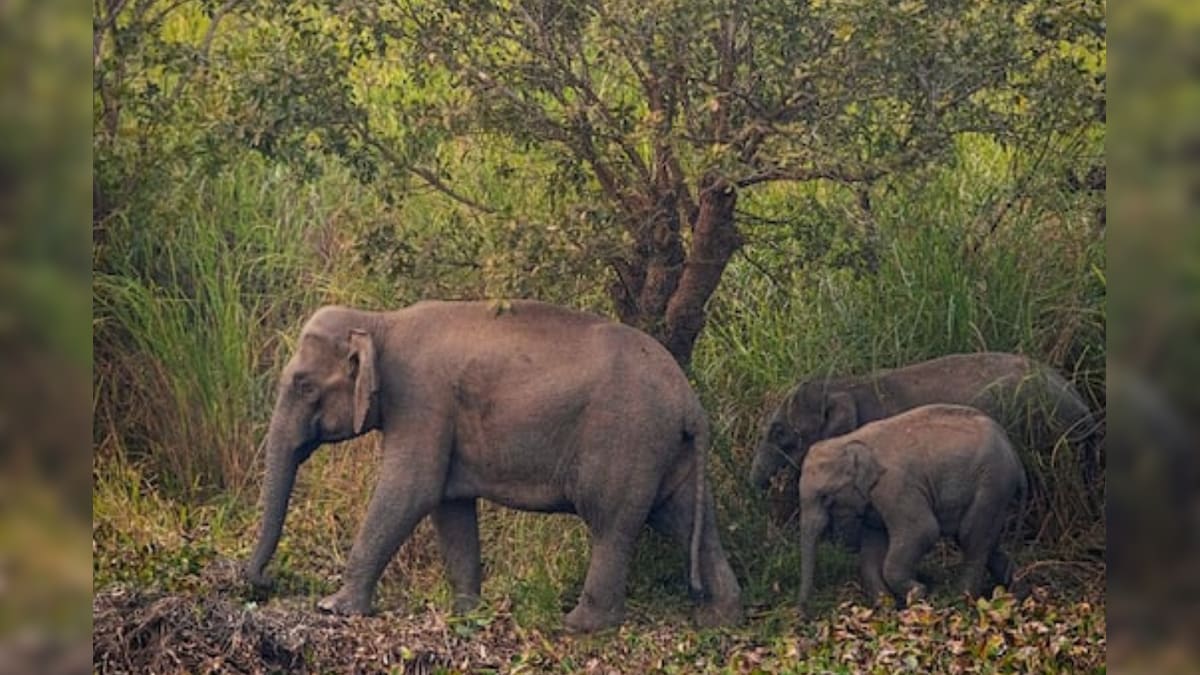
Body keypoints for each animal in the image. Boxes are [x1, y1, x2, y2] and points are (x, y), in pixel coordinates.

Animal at [242, 300, 742, 633]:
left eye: (304, 386)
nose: (263, 581)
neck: (380, 321)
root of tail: (690, 402)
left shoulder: (421, 399)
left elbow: (412, 489)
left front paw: (334, 608)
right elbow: (450, 505)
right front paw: (467, 611)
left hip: (627, 440)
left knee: (611, 523)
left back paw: (579, 625)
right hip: (667, 451)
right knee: (682, 519)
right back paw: (718, 616)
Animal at [796, 404, 1028, 610]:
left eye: (825, 497)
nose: (802, 612)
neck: (849, 440)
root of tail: (1014, 452)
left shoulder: (896, 486)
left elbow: (923, 531)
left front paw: (917, 595)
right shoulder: (876, 501)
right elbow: (871, 552)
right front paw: (886, 607)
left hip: (992, 482)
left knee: (971, 537)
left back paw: (961, 601)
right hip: (995, 490)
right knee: (988, 541)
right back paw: (1015, 593)